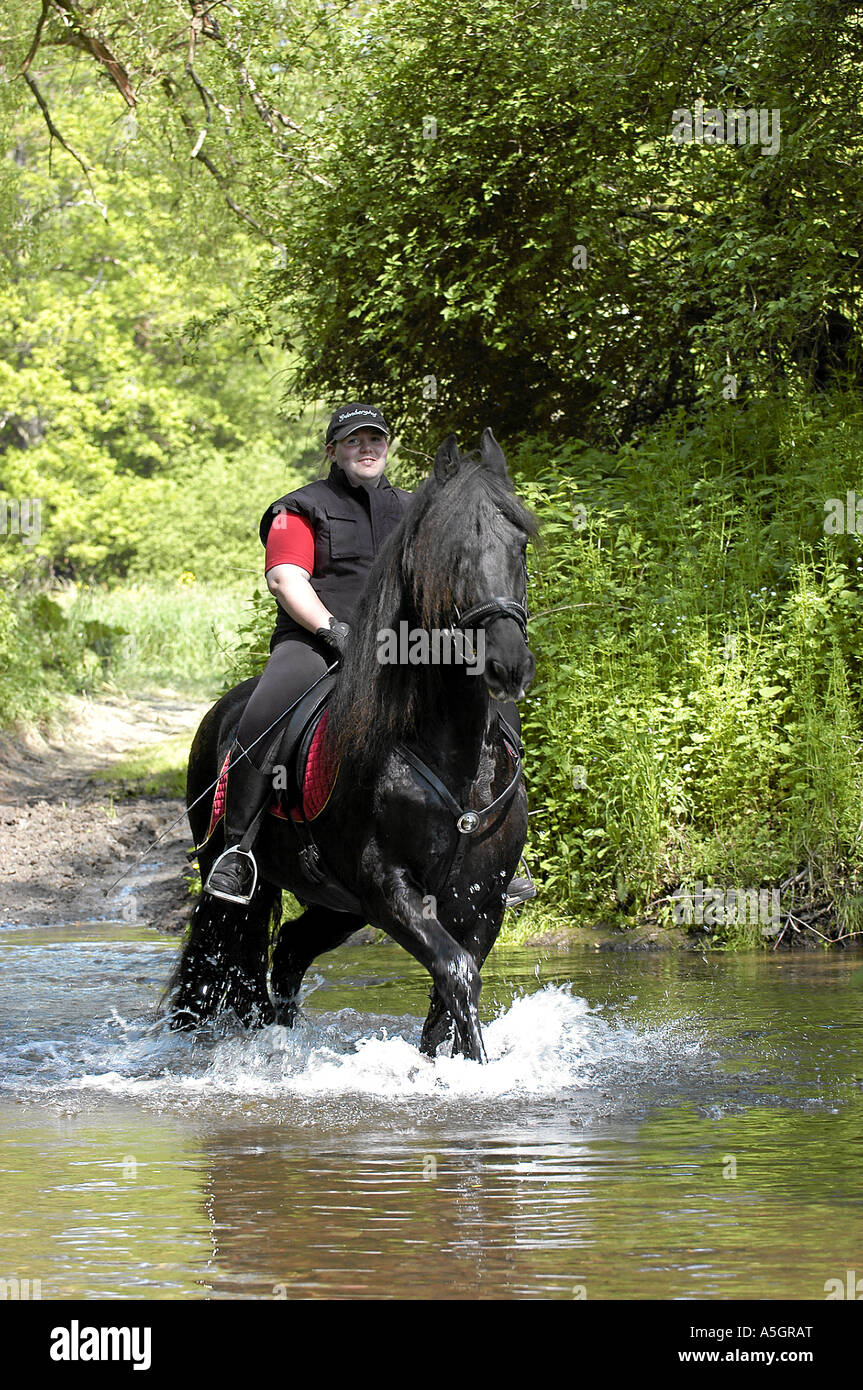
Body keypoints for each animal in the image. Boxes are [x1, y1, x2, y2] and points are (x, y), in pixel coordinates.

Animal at [165, 428, 538, 1062]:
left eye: (520, 548)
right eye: (452, 553)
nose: (509, 665)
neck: (451, 753)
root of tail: (220, 711)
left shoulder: (481, 899)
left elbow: (447, 996)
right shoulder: (387, 886)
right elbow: (457, 973)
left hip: (339, 904)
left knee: (289, 949)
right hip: (245, 879)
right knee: (235, 958)